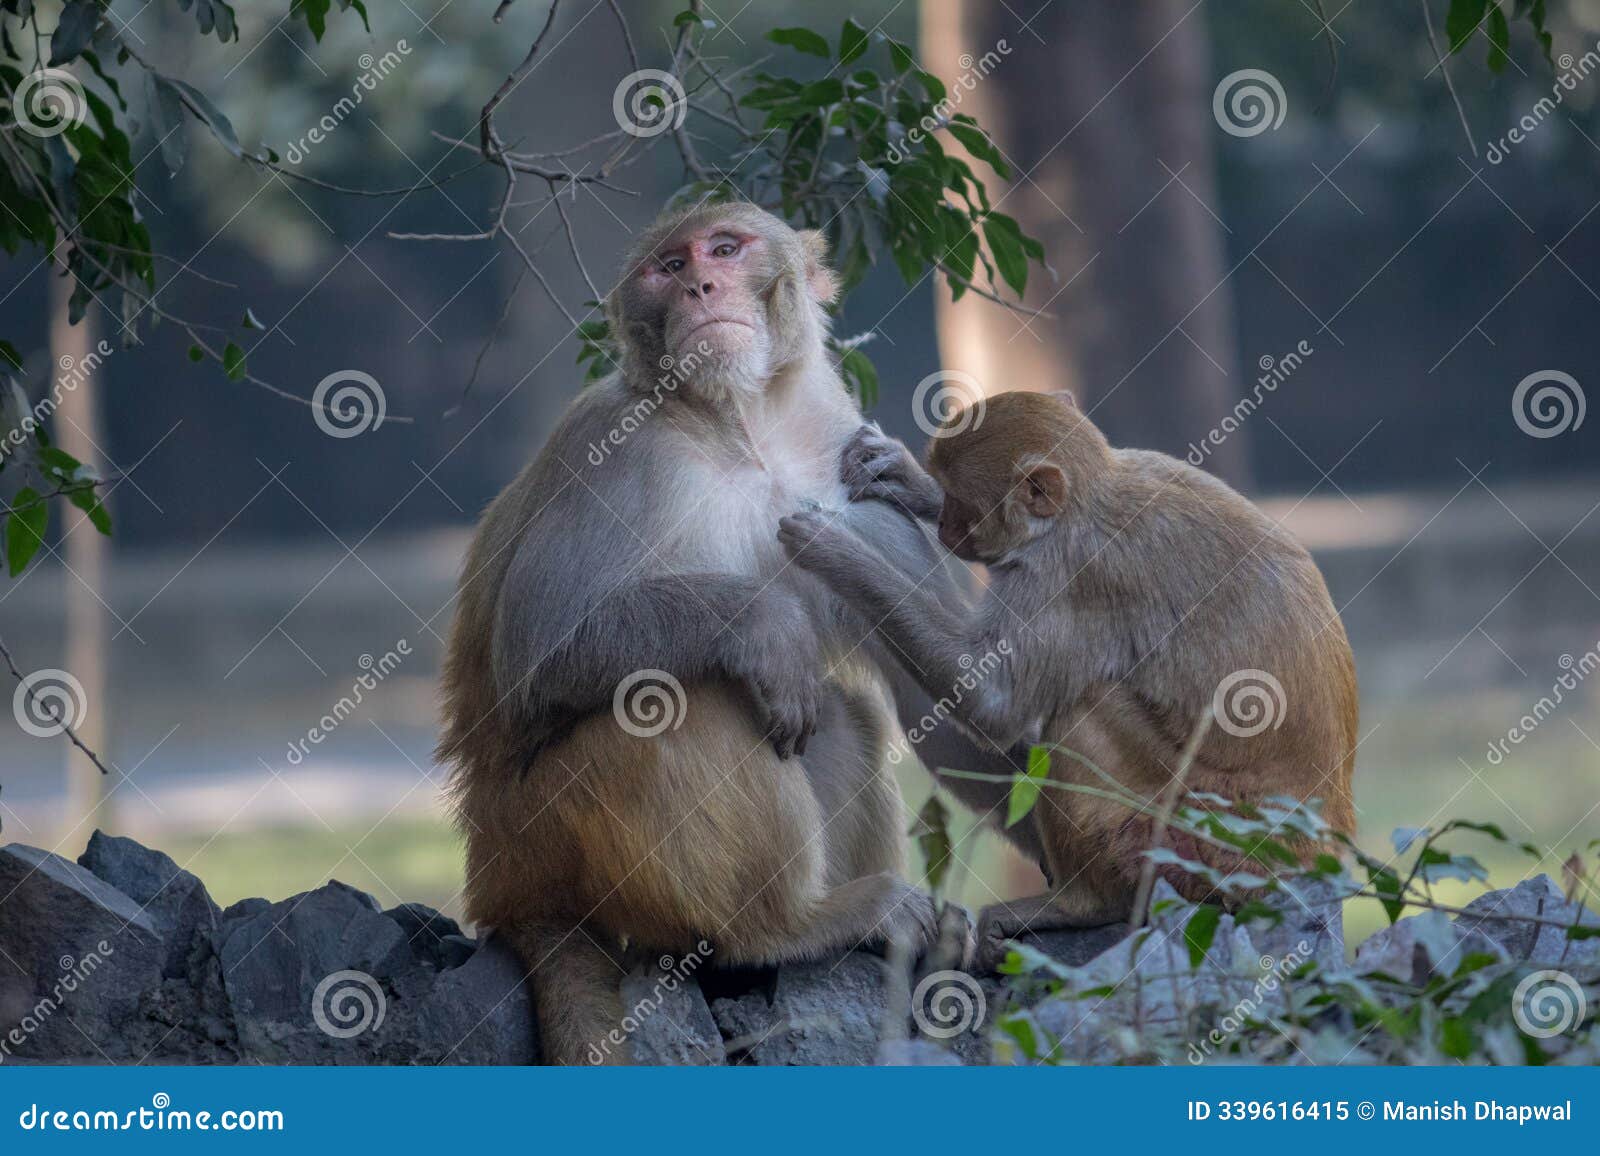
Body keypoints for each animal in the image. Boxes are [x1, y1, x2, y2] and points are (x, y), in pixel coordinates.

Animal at [438, 201, 1004, 1064]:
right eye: (669, 267)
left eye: (725, 250)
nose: (700, 287)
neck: (746, 427)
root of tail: (500, 880)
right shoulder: (615, 448)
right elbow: (539, 654)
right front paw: (761, 623)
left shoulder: (856, 482)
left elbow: (959, 721)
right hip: (550, 837)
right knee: (681, 703)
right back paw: (785, 927)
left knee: (836, 712)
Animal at [778, 390, 1358, 964]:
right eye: (948, 499)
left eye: (964, 506)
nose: (944, 527)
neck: (1086, 502)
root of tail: (1318, 851)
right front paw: (899, 476)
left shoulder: (1070, 578)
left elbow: (991, 701)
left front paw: (836, 551)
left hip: (1203, 841)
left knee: (1085, 713)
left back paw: (1086, 904)